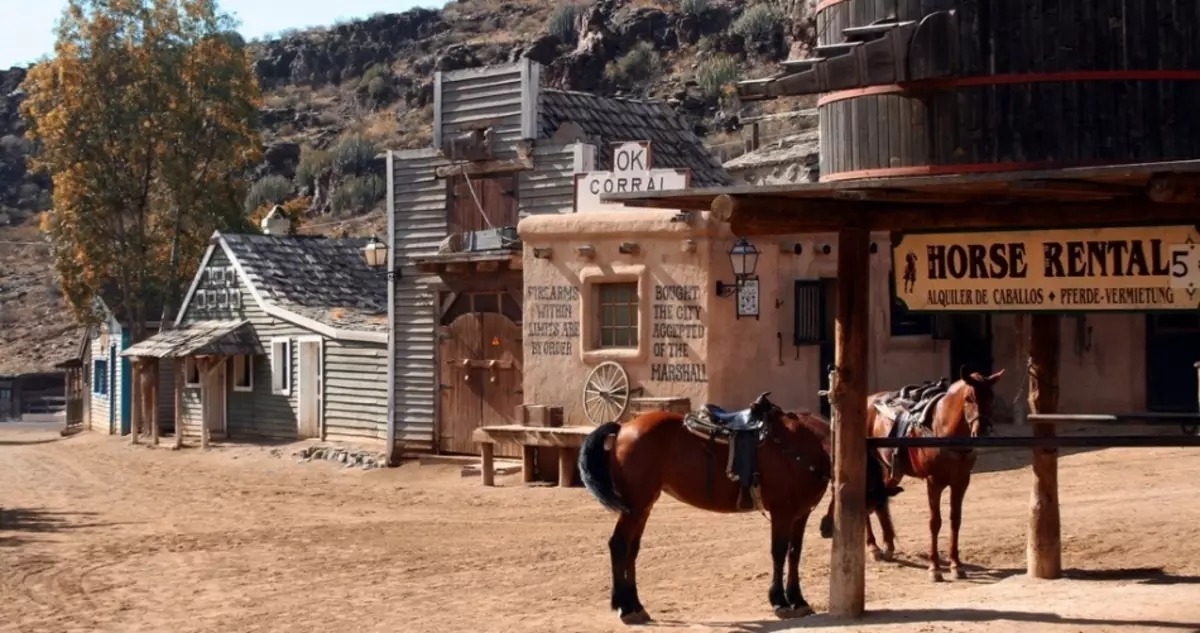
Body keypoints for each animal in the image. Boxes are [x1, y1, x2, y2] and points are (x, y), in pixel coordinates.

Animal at [576, 393, 897, 623]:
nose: (829, 529)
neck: (805, 446)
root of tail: (623, 428)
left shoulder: (800, 514)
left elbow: (794, 554)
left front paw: (798, 600)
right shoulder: (782, 513)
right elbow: (779, 553)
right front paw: (779, 601)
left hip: (644, 504)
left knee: (631, 548)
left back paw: (635, 605)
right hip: (635, 504)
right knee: (619, 545)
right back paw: (625, 607)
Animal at [816, 369, 1003, 580]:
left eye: (991, 397)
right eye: (969, 398)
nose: (982, 432)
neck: (942, 429)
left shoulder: (961, 481)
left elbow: (955, 520)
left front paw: (956, 565)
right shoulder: (934, 482)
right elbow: (935, 522)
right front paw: (935, 568)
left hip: (891, 472)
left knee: (880, 504)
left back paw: (888, 546)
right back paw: (873, 547)